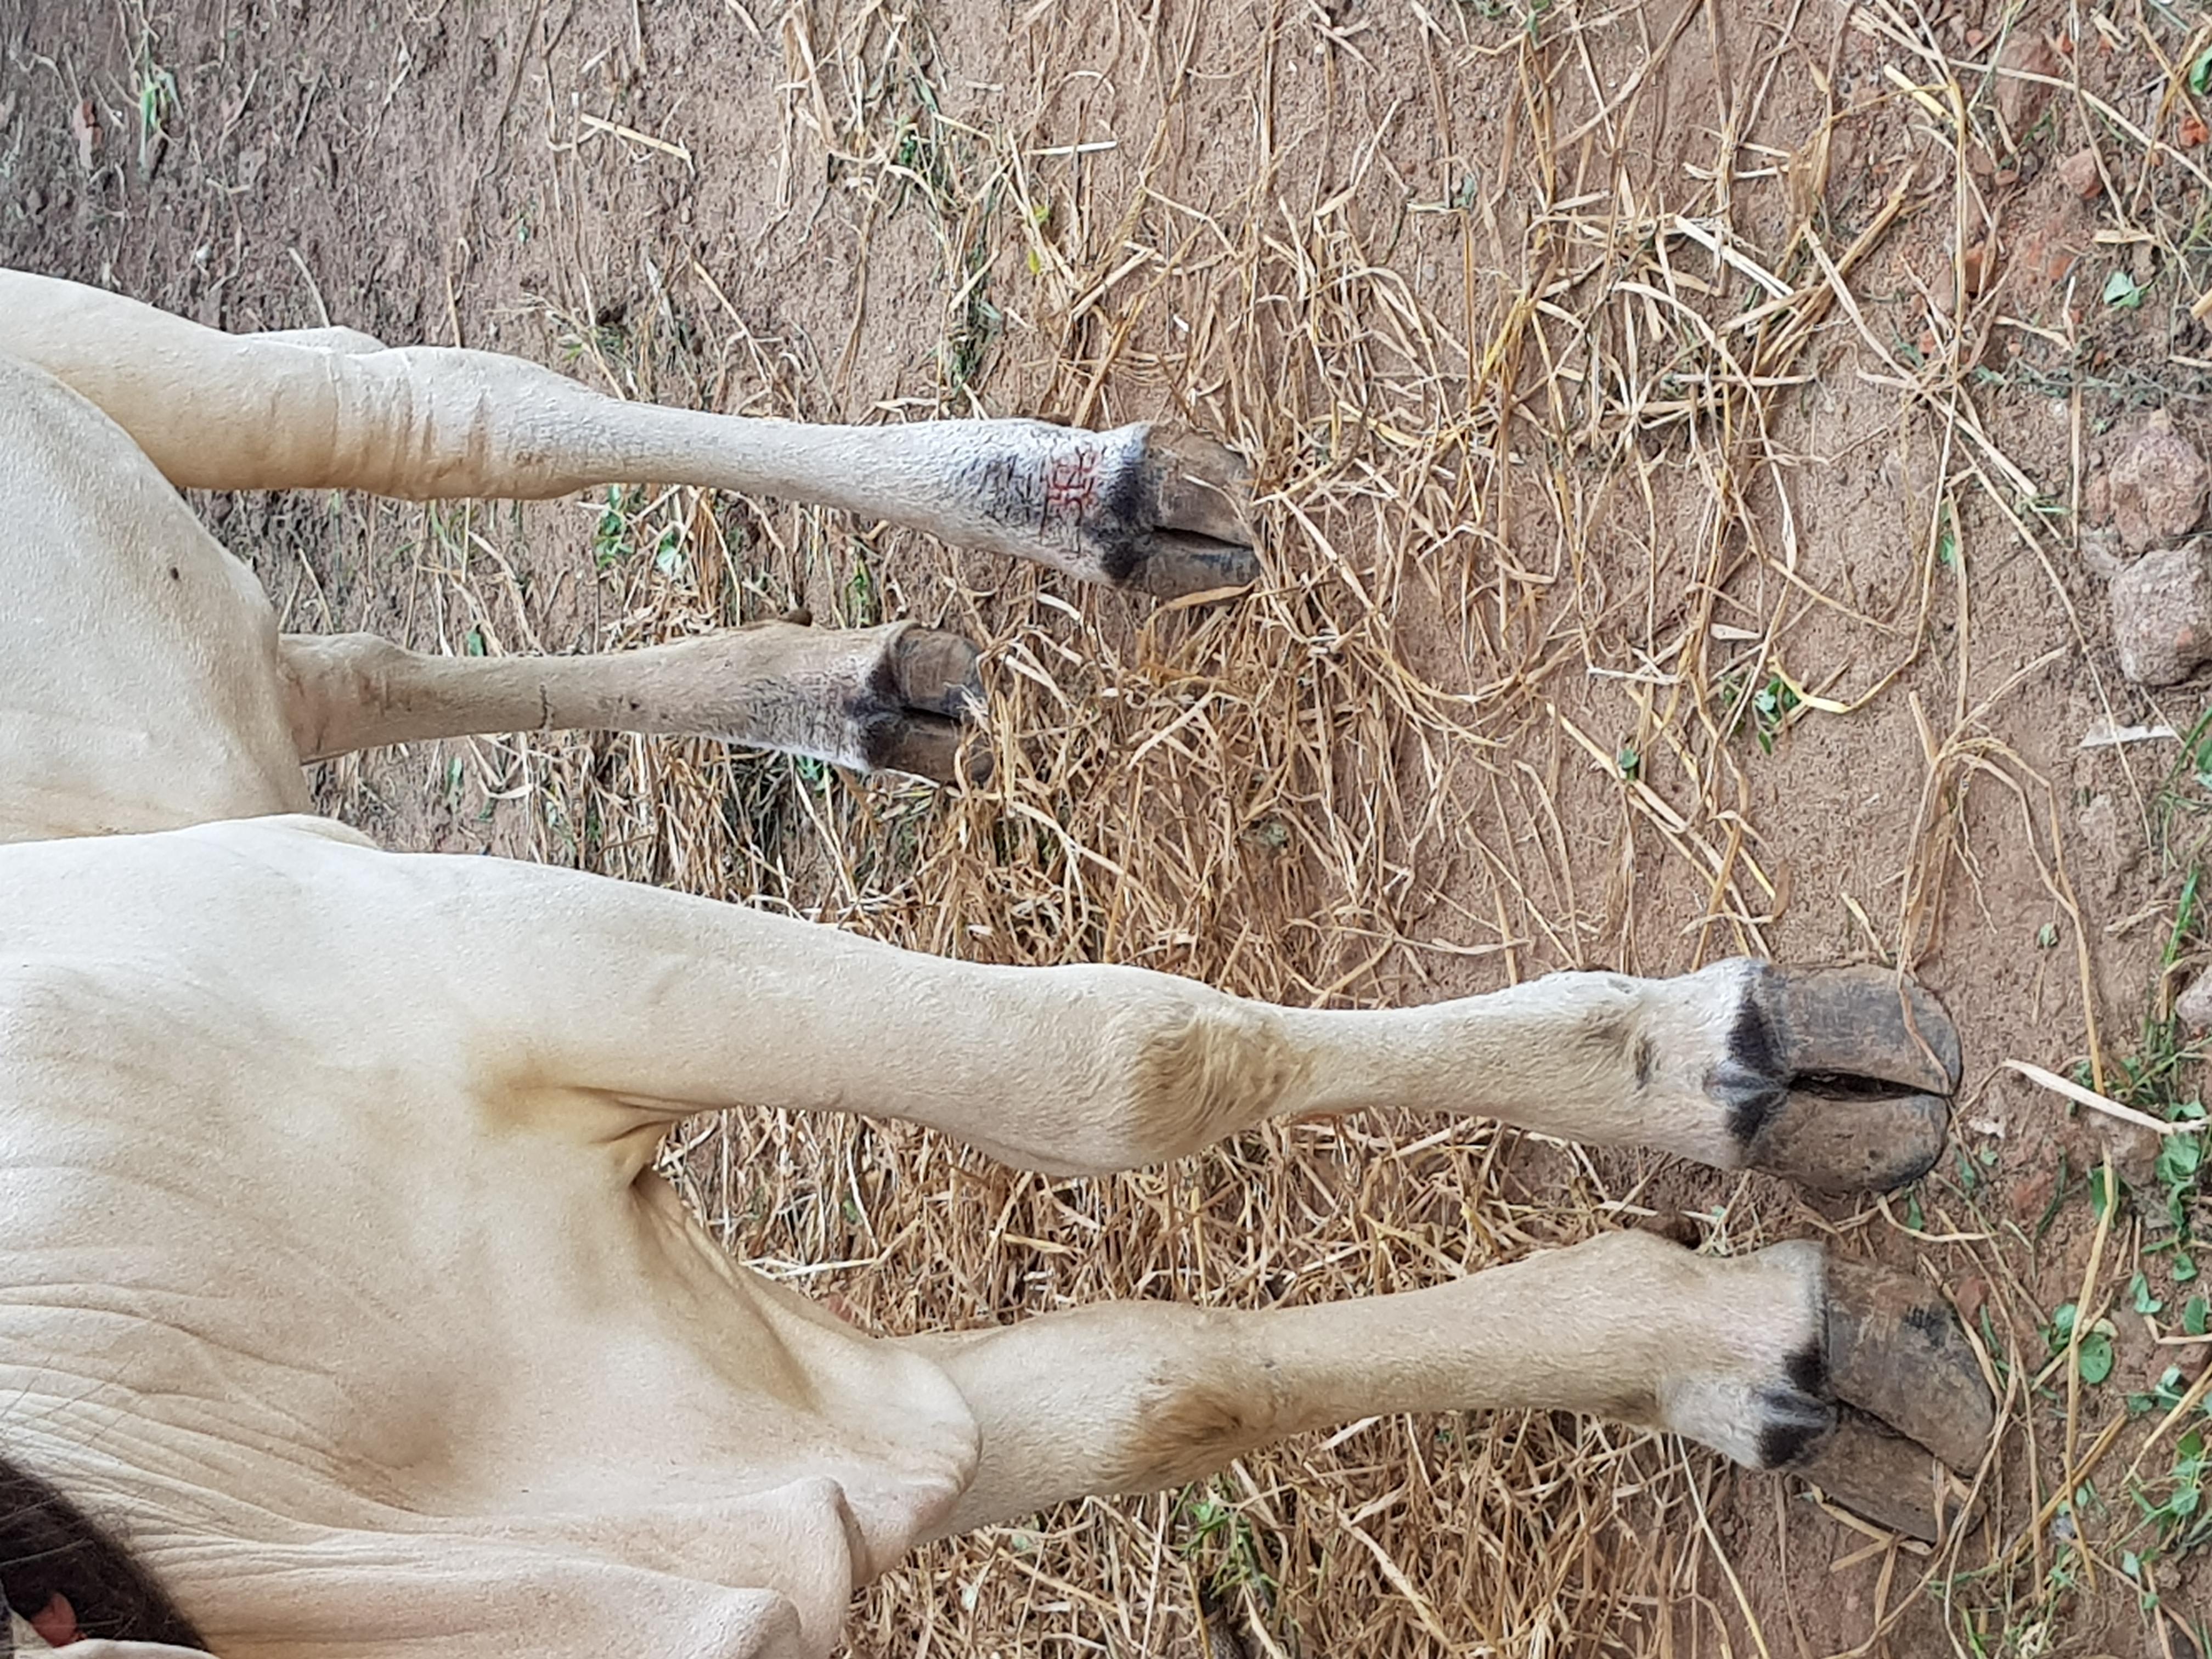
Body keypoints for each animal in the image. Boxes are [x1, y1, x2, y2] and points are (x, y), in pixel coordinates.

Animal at [0, 271, 1991, 1657]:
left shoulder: (468, 944)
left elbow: (1124, 1070)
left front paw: (1728, 1068)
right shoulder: (797, 1455)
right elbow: (1167, 1392)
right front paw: (1744, 1350)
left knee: (437, 416)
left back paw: (1089, 502)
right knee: (328, 667)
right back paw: (845, 689)